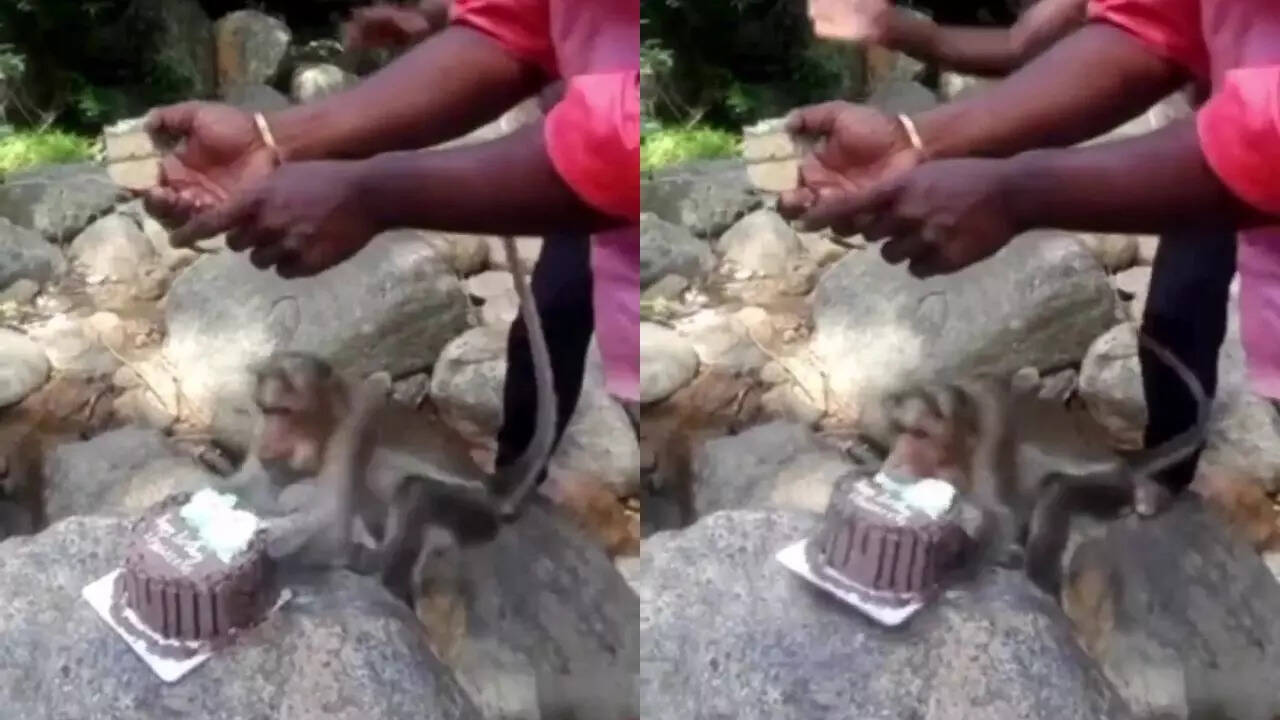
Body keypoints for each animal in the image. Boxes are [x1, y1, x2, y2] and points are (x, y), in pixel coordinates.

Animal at [841, 331, 1209, 598]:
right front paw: (868, 457)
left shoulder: (987, 455)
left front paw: (954, 569)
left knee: (1056, 489)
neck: (963, 441)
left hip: (1109, 481)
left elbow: (1003, 517)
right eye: (901, 430)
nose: (899, 456)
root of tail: (1120, 458)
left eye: (920, 434)